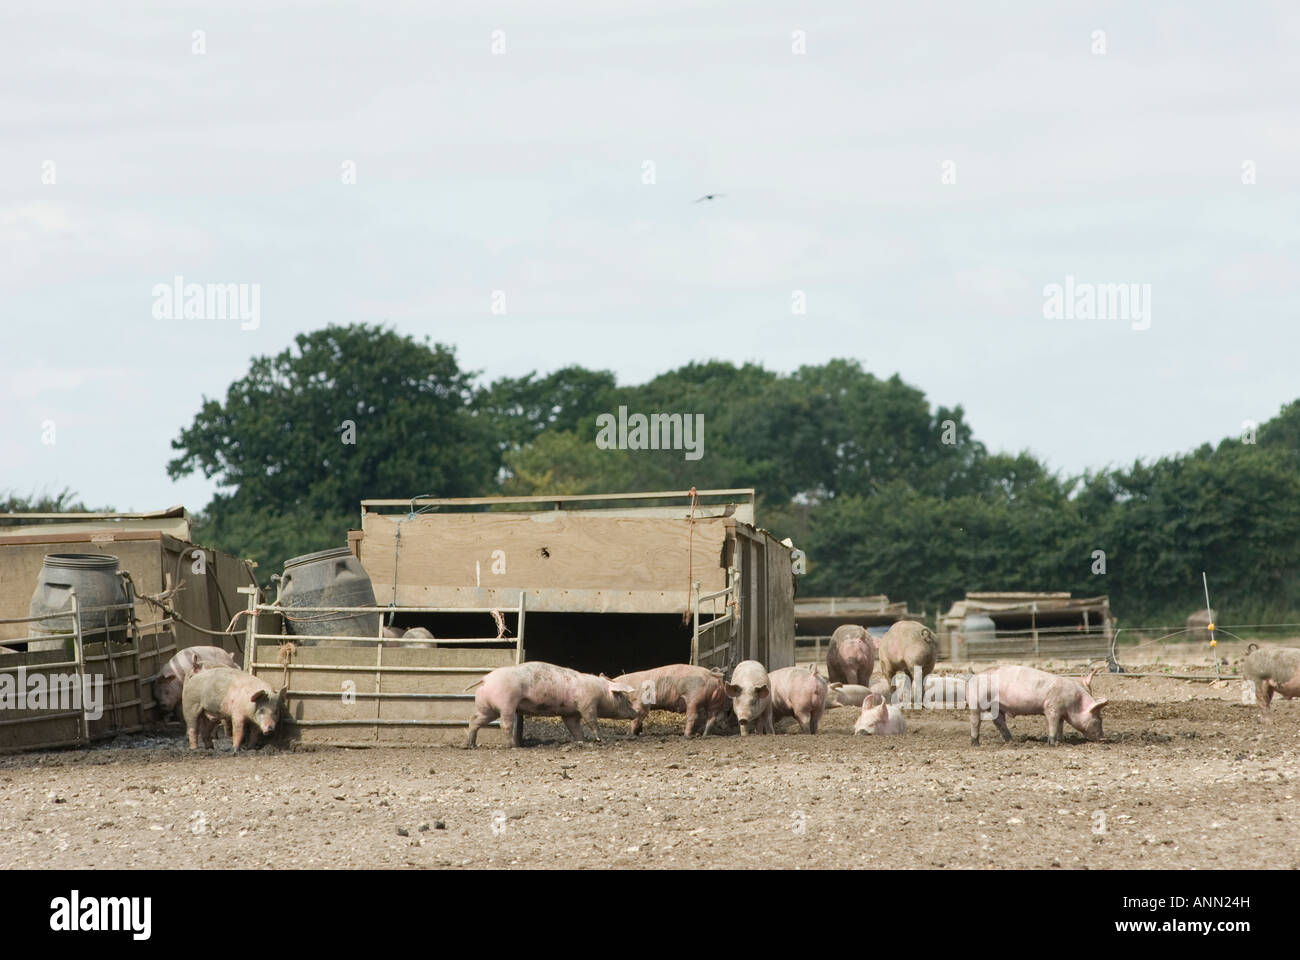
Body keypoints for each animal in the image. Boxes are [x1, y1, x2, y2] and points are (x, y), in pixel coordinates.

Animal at [464, 661, 637, 748]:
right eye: (626, 699)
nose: (635, 712)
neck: (600, 691)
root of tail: (485, 679)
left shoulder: (570, 713)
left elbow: (575, 727)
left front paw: (582, 741)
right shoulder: (587, 703)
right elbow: (592, 721)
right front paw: (601, 740)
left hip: (486, 707)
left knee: (474, 720)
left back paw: (470, 745)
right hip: (506, 703)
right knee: (505, 724)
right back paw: (513, 746)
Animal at [968, 665, 1107, 745]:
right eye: (1098, 719)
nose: (1103, 739)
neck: (1075, 703)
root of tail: (974, 676)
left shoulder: (1061, 712)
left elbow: (1060, 726)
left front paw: (1061, 741)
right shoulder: (1052, 708)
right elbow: (1053, 725)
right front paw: (1052, 744)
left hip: (997, 707)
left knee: (998, 721)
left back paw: (1011, 741)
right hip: (976, 702)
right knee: (975, 721)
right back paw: (976, 744)